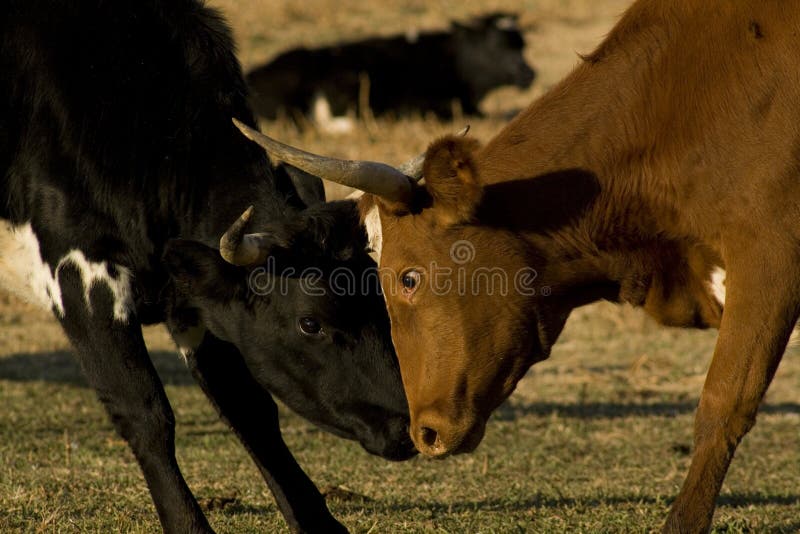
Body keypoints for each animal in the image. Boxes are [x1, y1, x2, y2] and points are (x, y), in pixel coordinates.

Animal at [0, 1, 415, 533]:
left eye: (381, 302)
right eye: (310, 323)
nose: (409, 427)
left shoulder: (197, 301)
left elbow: (251, 410)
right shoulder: (80, 276)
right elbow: (145, 411)